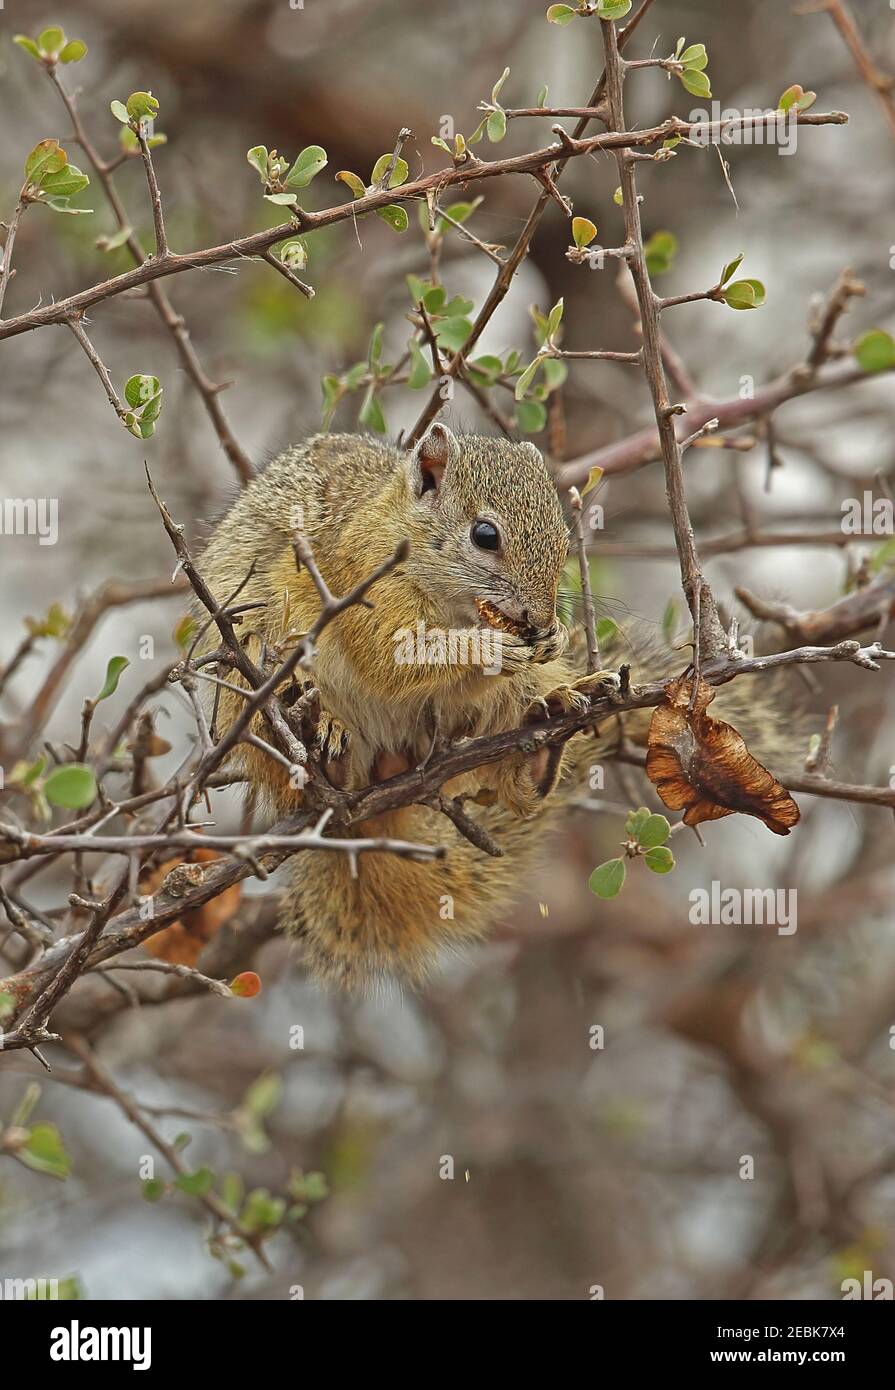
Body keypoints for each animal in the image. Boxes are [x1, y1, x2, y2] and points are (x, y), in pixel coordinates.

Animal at [197, 424, 797, 990]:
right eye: (485, 535)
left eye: (562, 536)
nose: (538, 618)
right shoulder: (358, 581)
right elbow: (391, 654)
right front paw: (488, 650)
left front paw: (550, 641)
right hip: (255, 655)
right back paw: (322, 738)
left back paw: (545, 725)